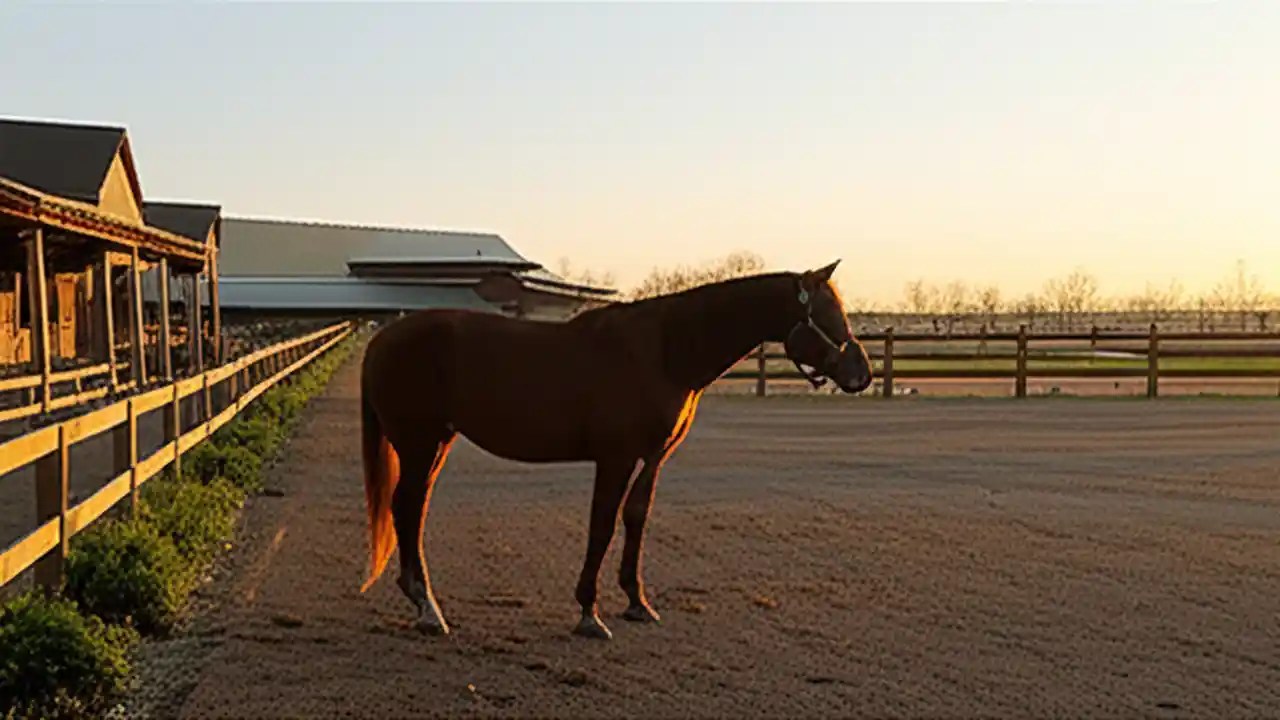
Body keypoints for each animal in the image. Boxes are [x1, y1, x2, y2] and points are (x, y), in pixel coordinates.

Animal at [358, 260, 873, 640]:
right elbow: (602, 524)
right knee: (408, 508)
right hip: (420, 444)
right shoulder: (616, 457)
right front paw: (590, 613)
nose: (861, 373)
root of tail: (383, 338)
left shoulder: (652, 457)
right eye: (825, 313)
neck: (665, 349)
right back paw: (428, 608)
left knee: (411, 509)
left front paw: (636, 602)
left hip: (436, 443)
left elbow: (635, 517)